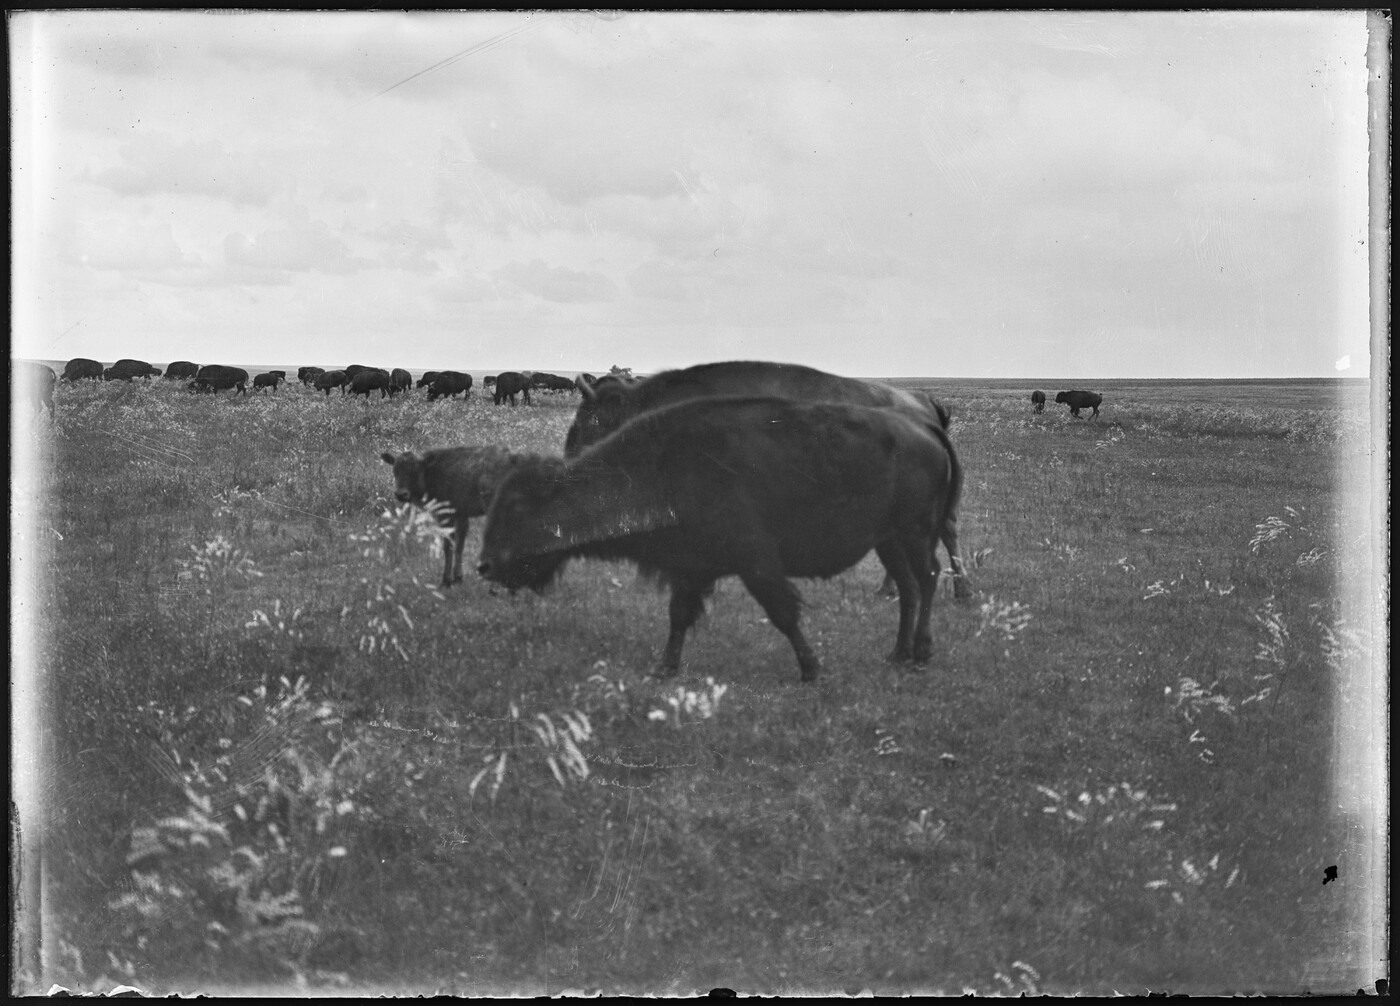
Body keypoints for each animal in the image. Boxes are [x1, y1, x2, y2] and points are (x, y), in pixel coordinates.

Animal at [380, 446, 522, 587]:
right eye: (395, 470)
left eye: (415, 471)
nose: (401, 494)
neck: (430, 472)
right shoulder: (461, 515)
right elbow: (459, 545)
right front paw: (458, 578)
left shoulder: (445, 515)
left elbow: (448, 546)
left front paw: (446, 580)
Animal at [479, 397, 961, 682]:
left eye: (517, 507)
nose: (483, 564)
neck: (663, 468)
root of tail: (928, 430)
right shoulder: (690, 569)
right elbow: (678, 617)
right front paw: (664, 668)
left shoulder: (756, 563)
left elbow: (783, 613)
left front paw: (811, 669)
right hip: (889, 540)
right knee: (909, 587)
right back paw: (897, 654)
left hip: (915, 533)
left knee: (929, 578)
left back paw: (921, 652)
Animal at [563, 359, 972, 601]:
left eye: (588, 420)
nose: (571, 459)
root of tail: (923, 403)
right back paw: (893, 590)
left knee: (947, 532)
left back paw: (960, 591)